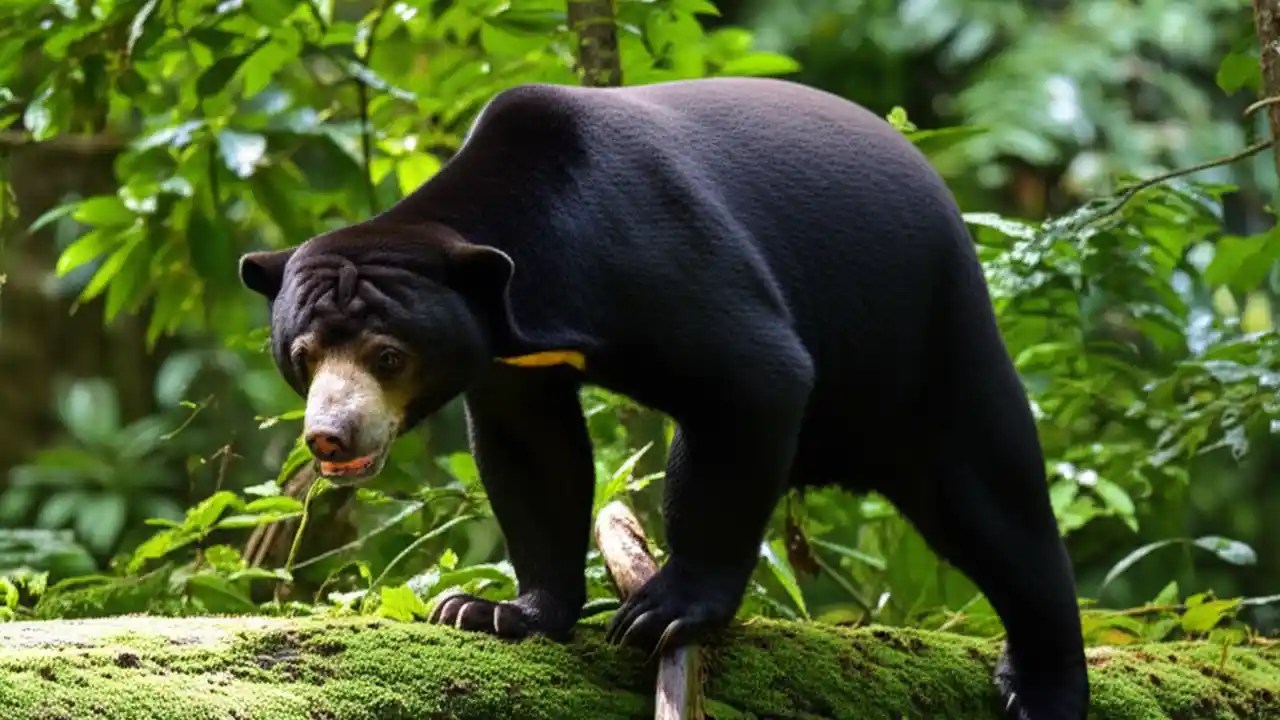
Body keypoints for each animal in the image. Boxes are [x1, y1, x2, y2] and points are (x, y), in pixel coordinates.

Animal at [239, 77, 1088, 719]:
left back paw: (1045, 688)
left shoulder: (656, 254)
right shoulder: (514, 357)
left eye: (388, 355)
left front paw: (662, 611)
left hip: (930, 336)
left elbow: (757, 378)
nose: (331, 437)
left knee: (993, 506)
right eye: (303, 356)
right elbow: (531, 455)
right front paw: (493, 611)